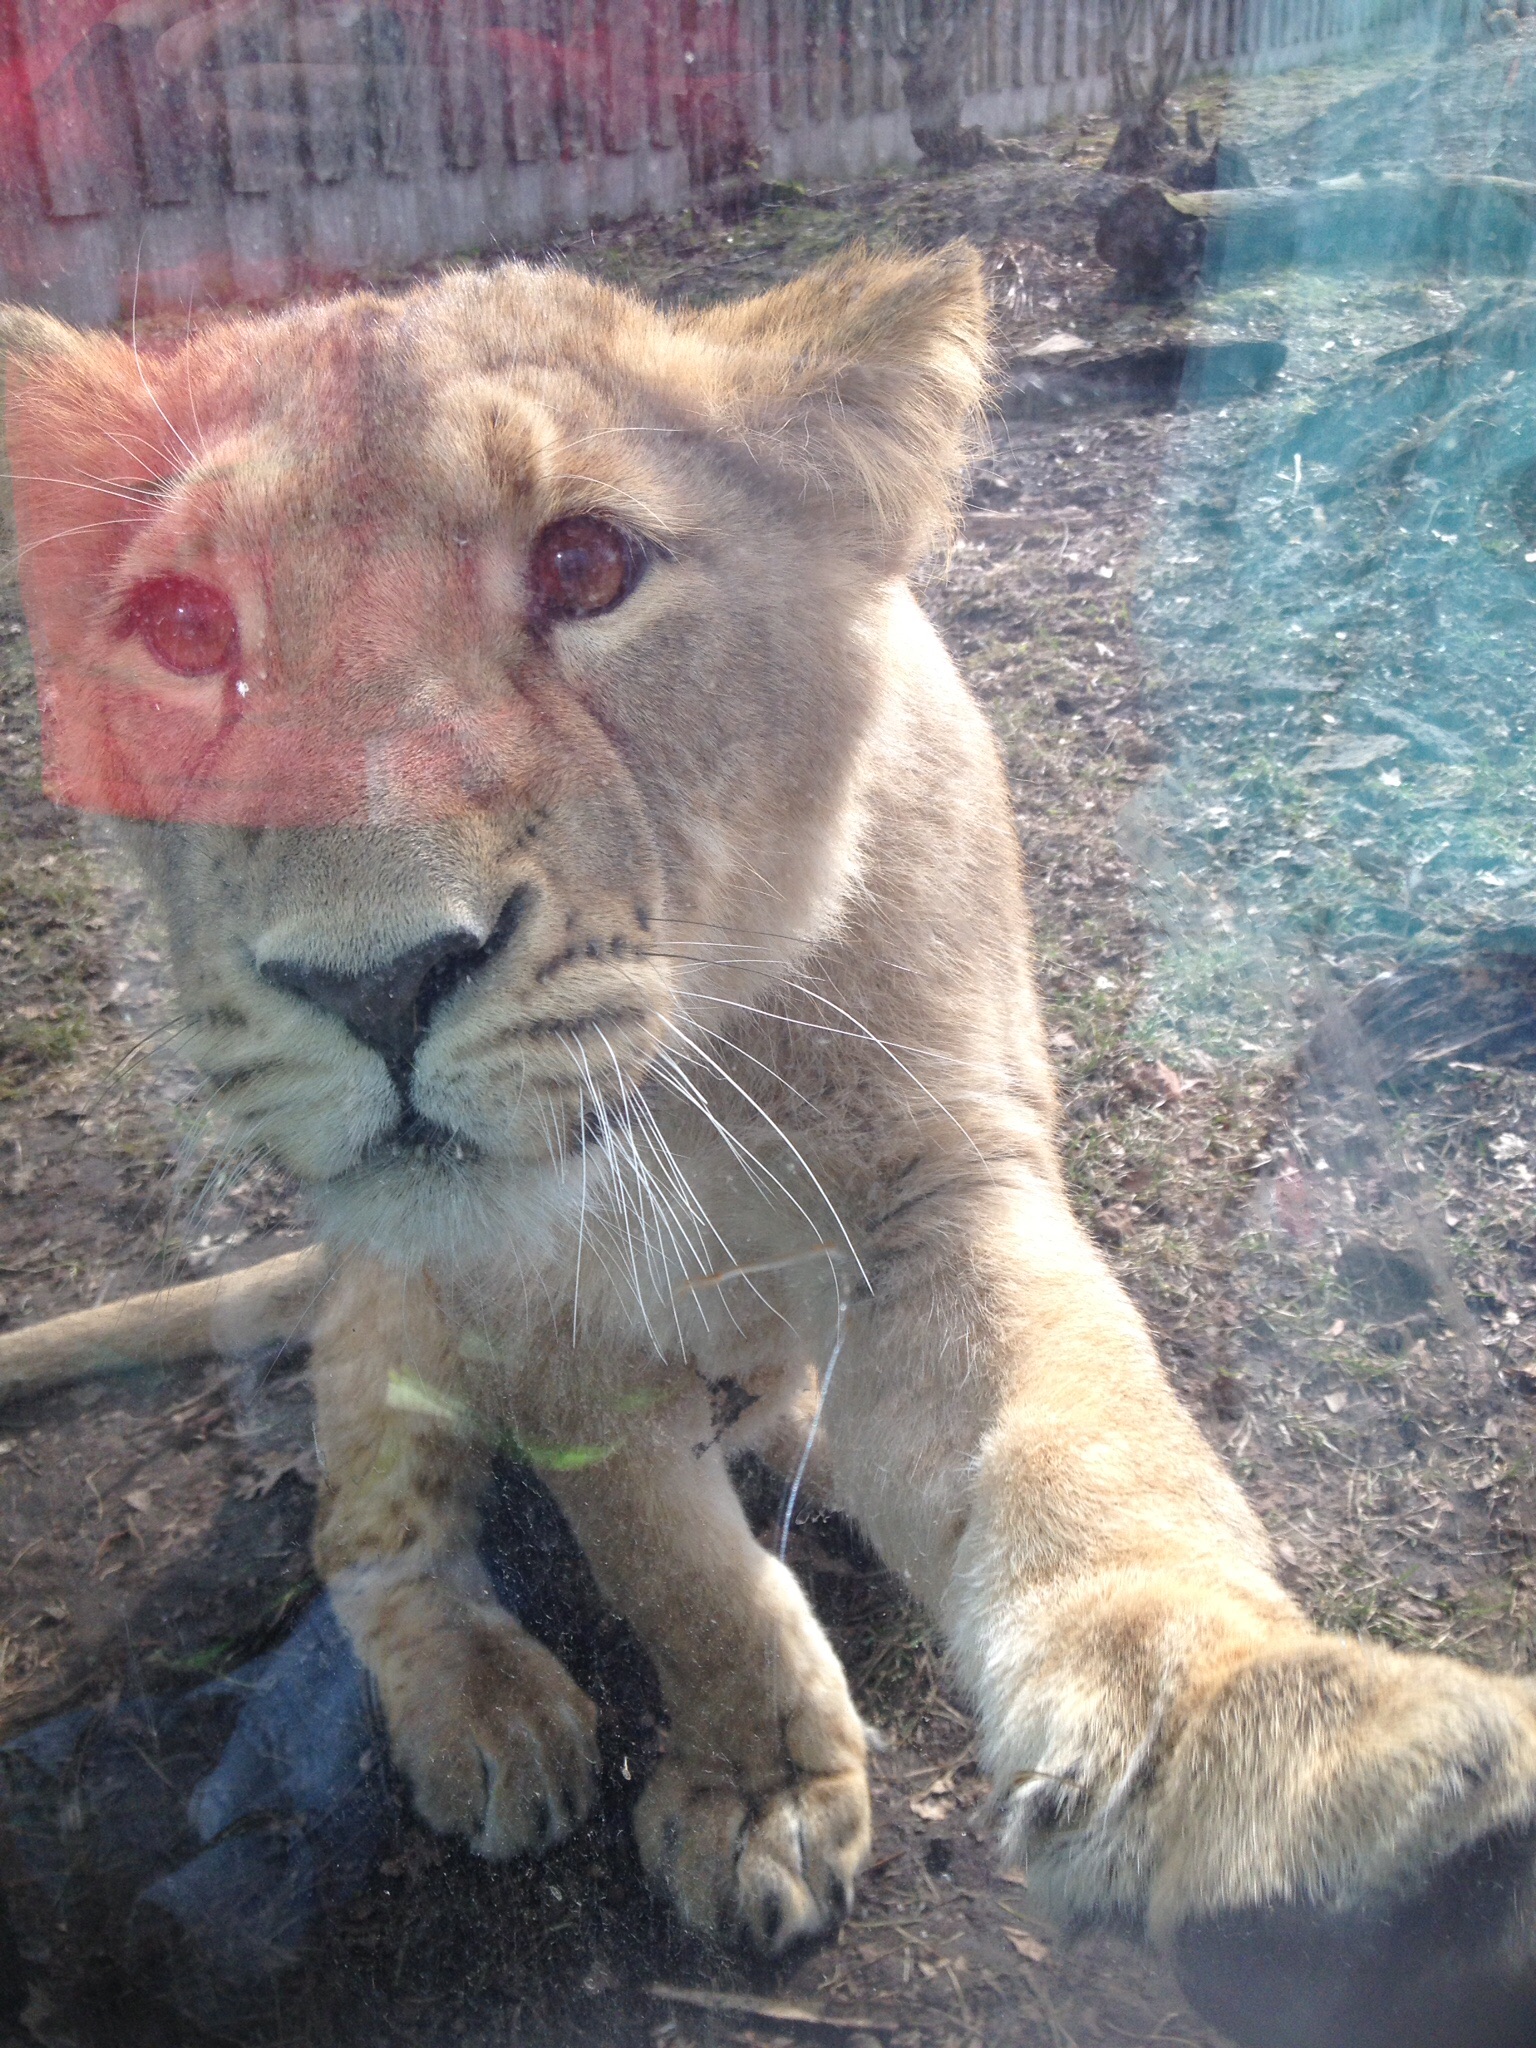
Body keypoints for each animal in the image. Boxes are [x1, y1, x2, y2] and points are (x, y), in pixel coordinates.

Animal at [2, 248, 1534, 2048]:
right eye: (188, 629)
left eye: (586, 563)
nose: (371, 980)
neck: (684, 1077)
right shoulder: (533, 1303)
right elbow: (676, 1573)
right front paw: (759, 1789)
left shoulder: (940, 1185)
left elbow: (1085, 1455)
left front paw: (1270, 1758)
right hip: (383, 1295)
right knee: (367, 1540)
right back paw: (492, 1709)